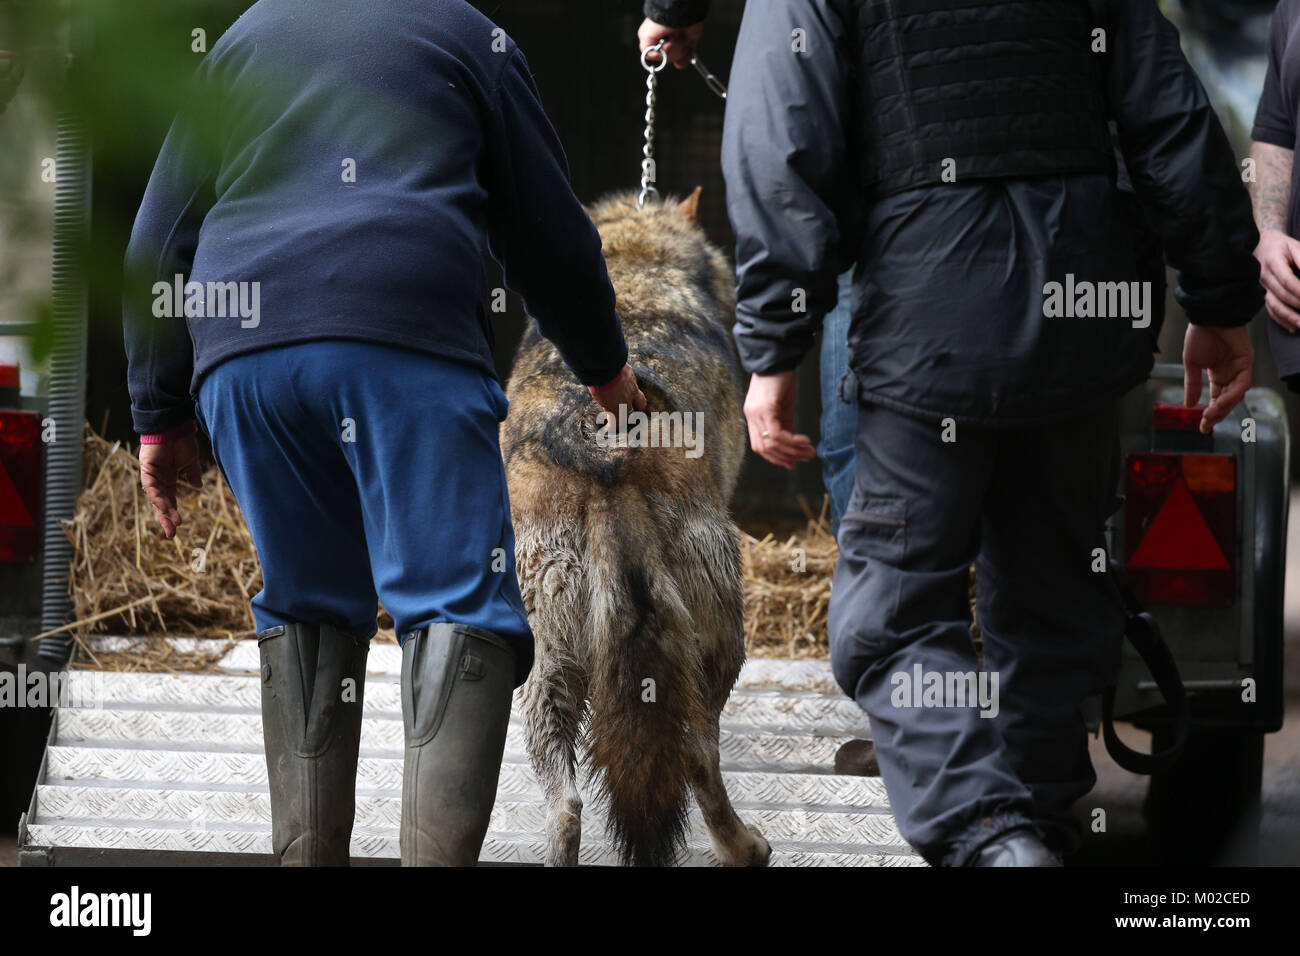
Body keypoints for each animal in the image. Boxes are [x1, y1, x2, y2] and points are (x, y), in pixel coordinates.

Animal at [501, 189, 771, 867]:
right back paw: (743, 847)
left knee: (567, 806)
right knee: (696, 755)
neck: (638, 265)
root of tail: (604, 461)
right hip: (719, 648)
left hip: (543, 671)